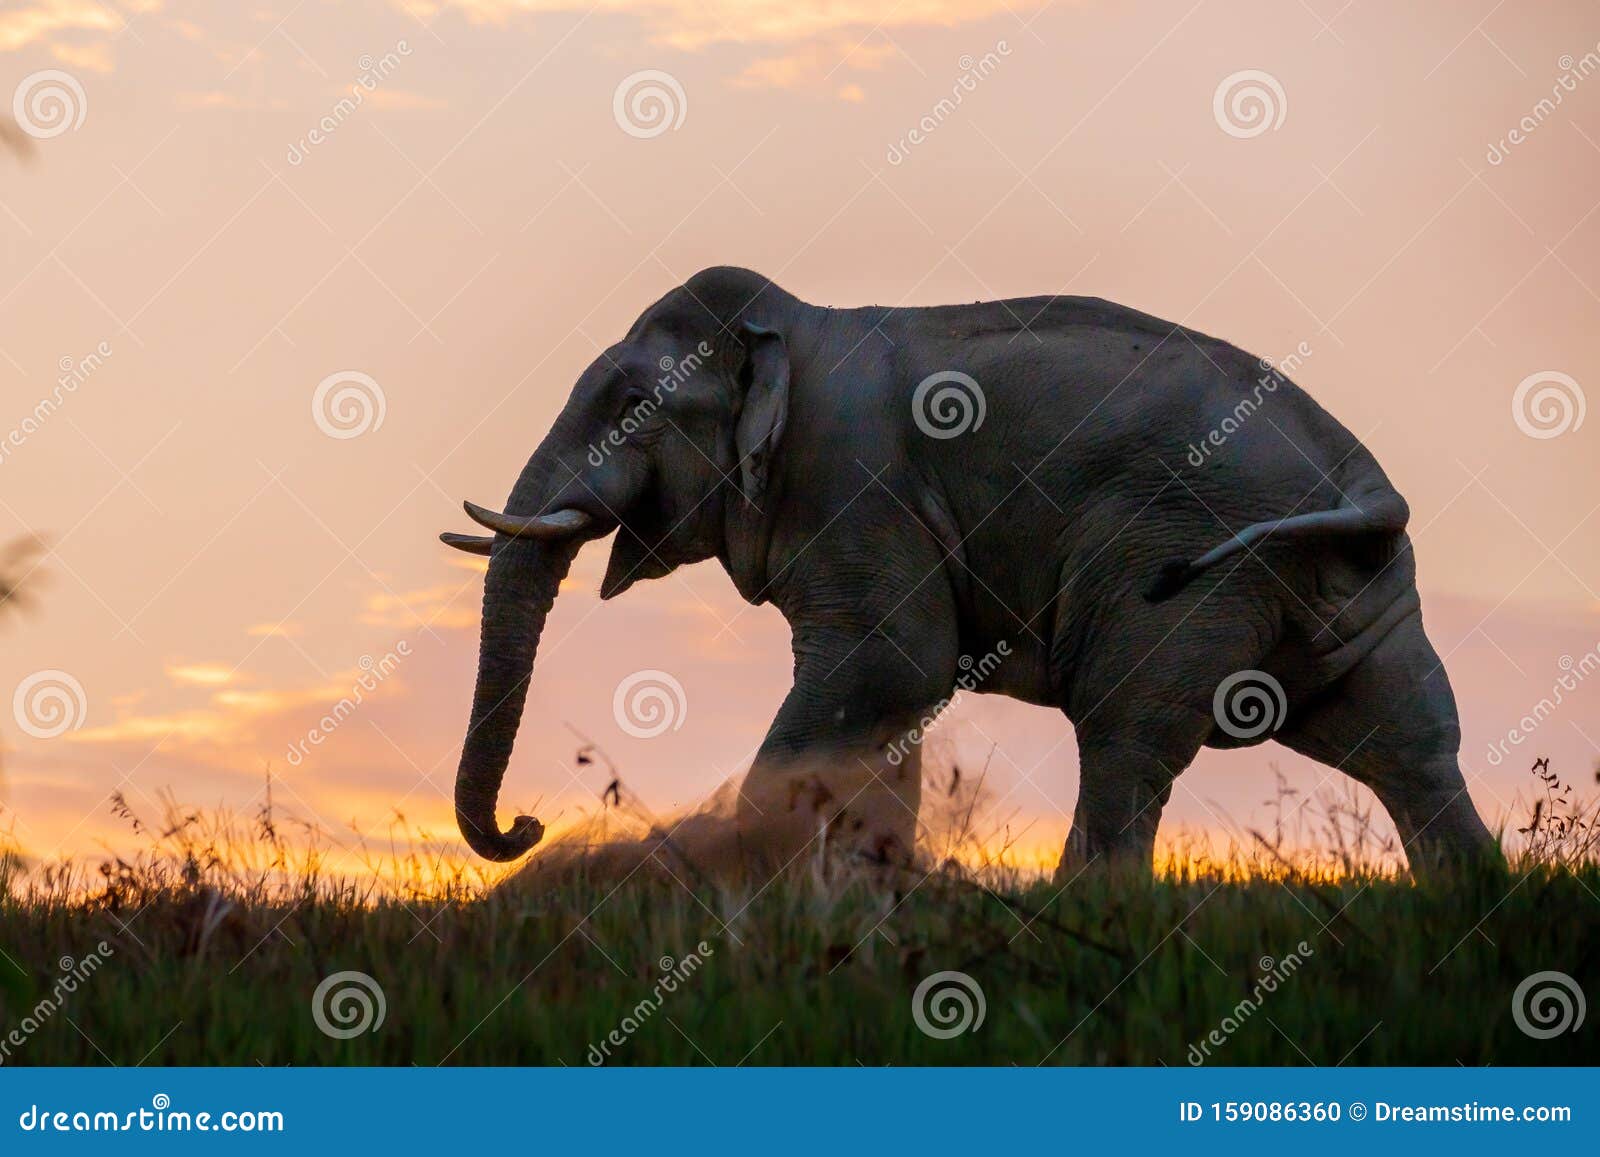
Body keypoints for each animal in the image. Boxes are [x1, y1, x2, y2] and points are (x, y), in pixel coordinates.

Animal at [440, 265, 1499, 878]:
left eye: (630, 404)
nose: (528, 827)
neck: (794, 330)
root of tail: (1364, 478)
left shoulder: (856, 487)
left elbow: (884, 671)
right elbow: (883, 721)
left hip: (1188, 565)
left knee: (1127, 737)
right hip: (1353, 589)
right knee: (1412, 742)